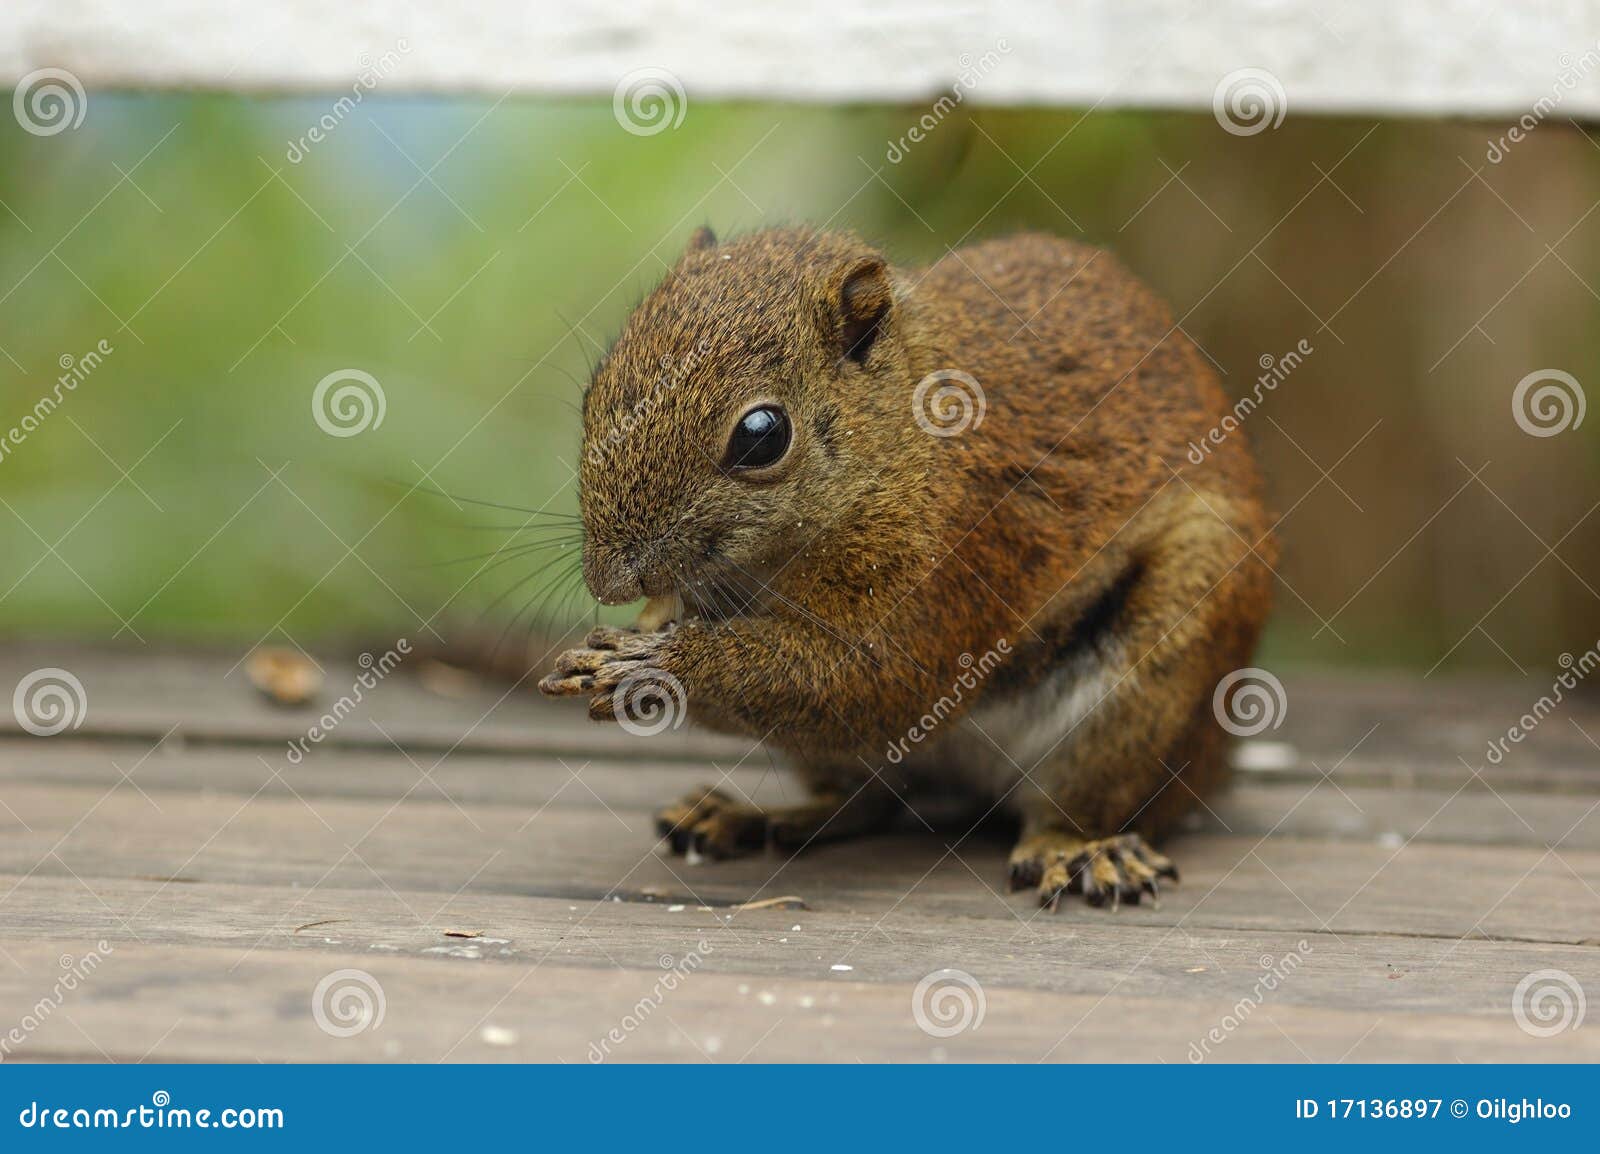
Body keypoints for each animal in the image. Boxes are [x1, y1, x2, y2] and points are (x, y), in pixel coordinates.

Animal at [539, 225, 1275, 910]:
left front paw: (658, 665)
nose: (610, 581)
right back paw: (755, 816)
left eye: (762, 435)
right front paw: (631, 638)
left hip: (1159, 679)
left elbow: (868, 683)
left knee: (1073, 803)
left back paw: (1076, 848)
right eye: (596, 387)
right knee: (868, 802)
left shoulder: (952, 554)